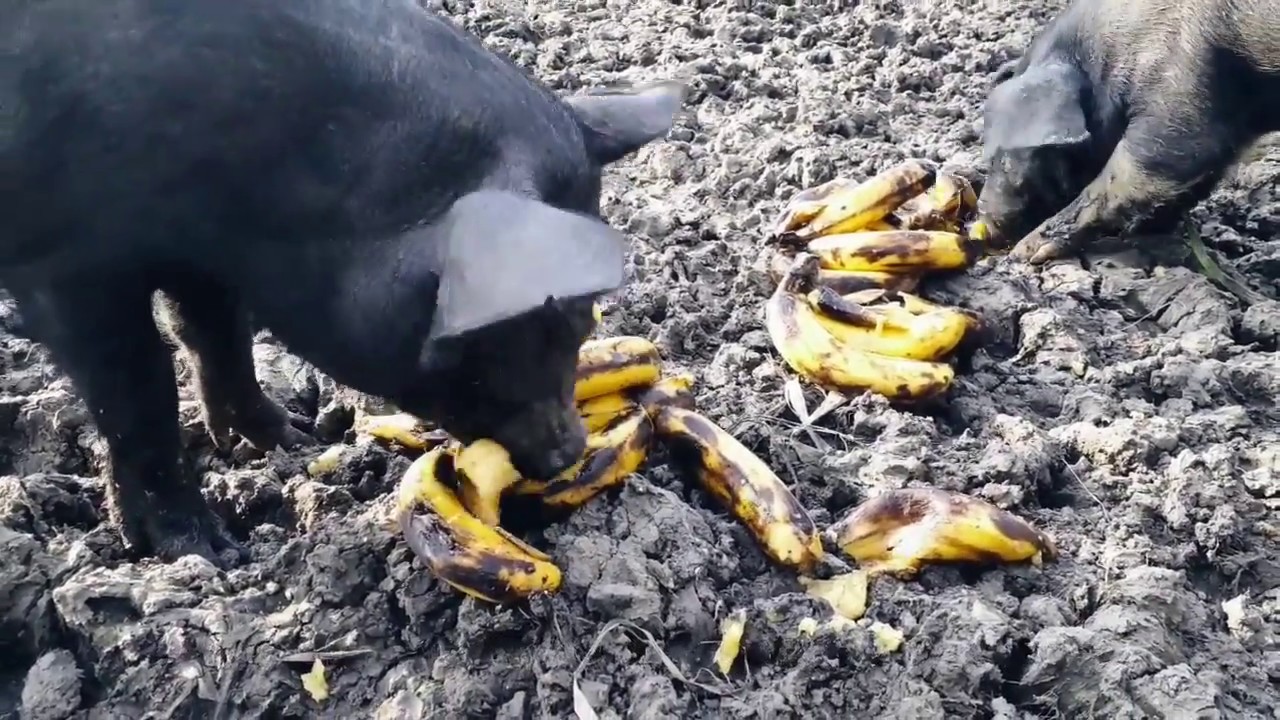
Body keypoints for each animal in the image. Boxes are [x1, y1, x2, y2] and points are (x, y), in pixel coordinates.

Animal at [1, 0, 684, 567]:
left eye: (585, 318)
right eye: (501, 338)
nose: (568, 454)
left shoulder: (209, 261)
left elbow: (216, 338)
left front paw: (287, 442)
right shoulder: (72, 267)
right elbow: (139, 391)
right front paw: (205, 553)